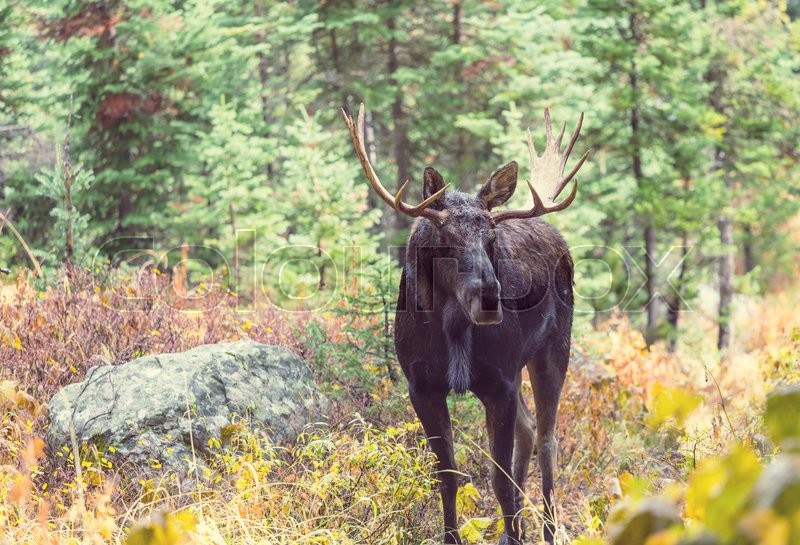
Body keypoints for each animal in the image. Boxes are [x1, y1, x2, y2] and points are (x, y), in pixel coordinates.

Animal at [341, 104, 588, 545]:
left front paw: (515, 533)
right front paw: (456, 536)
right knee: (530, 429)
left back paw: (546, 531)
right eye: (446, 240)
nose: (490, 299)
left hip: (553, 348)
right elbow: (449, 475)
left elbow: (499, 478)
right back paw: (515, 530)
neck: (453, 331)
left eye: (491, 238)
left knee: (547, 439)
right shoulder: (421, 385)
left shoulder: (499, 382)